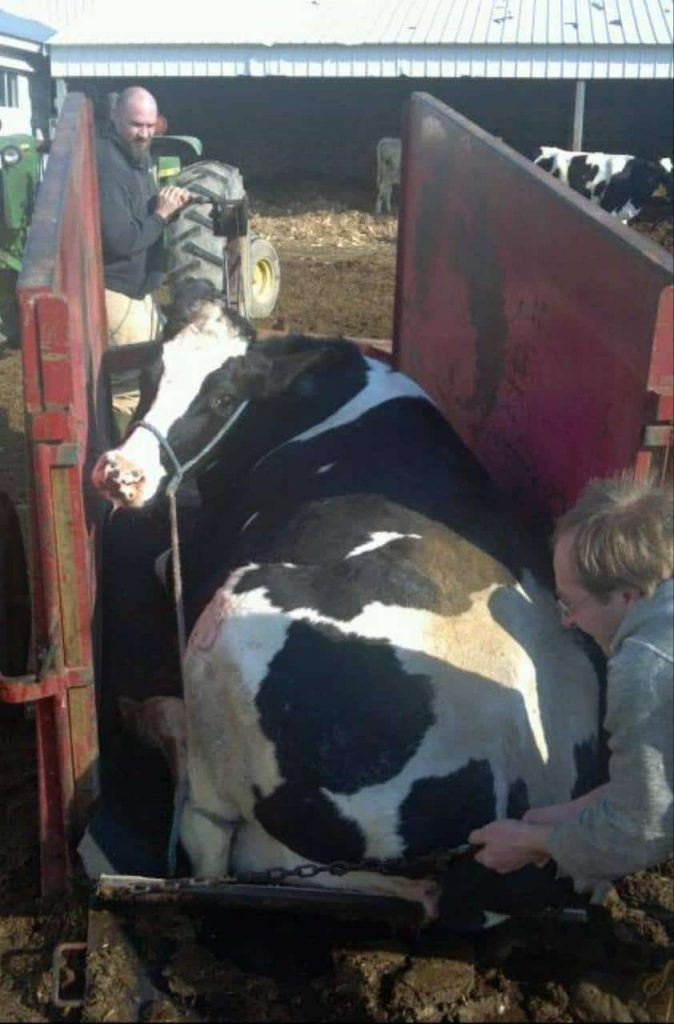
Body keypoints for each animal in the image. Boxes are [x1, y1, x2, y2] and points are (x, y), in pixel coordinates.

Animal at [91, 291, 606, 928]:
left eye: (222, 397)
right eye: (151, 374)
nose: (120, 474)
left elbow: (165, 562)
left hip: (226, 629)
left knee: (206, 835)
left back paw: (154, 720)